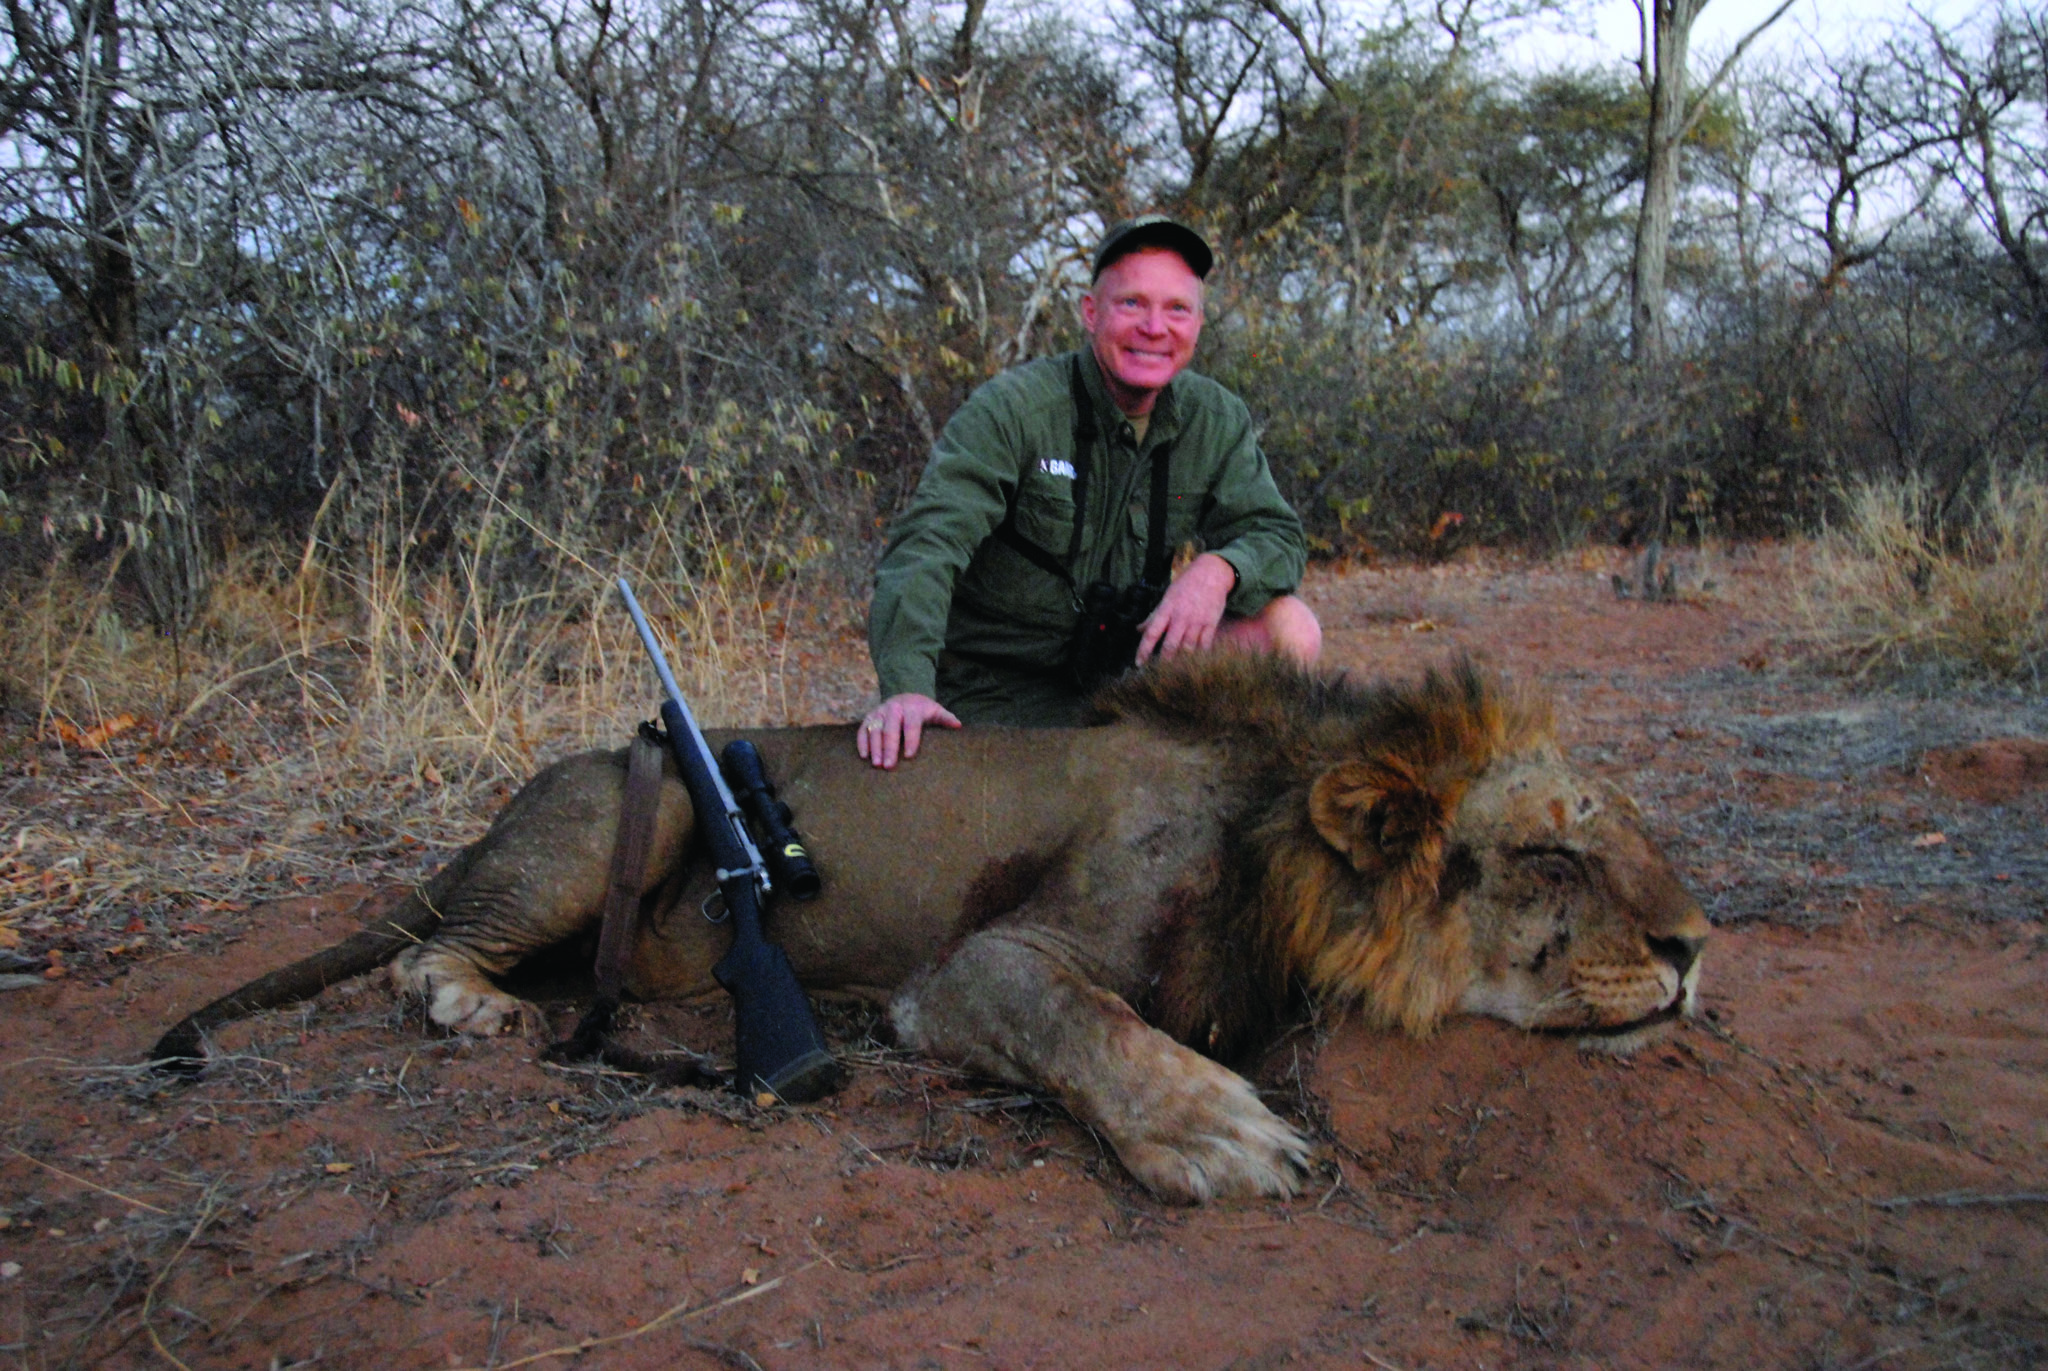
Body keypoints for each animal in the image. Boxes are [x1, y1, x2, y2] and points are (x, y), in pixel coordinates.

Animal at [151, 655, 1708, 1204]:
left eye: (1631, 828)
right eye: (1552, 853)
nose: (1698, 946)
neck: (1271, 828)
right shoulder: (974, 971)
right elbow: (1088, 1023)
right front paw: (1221, 1132)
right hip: (611, 815)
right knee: (428, 949)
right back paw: (476, 1006)